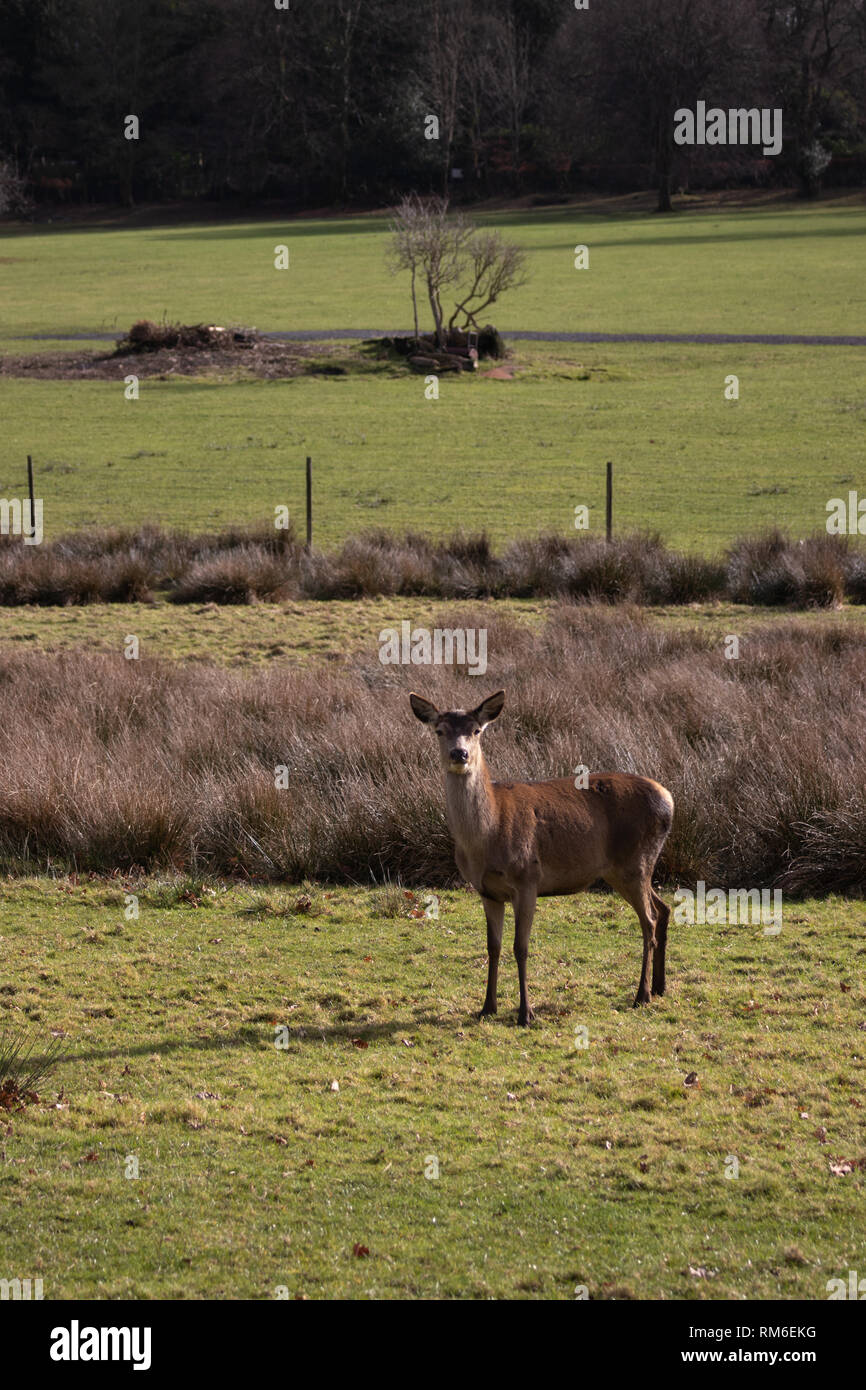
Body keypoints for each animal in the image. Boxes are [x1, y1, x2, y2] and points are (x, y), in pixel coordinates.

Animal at [409, 689, 674, 1024]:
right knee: (663, 909)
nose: (460, 754)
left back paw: (642, 995)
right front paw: (487, 1007)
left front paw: (526, 1013)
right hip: (629, 869)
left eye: (476, 730)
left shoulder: (528, 879)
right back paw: (660, 987)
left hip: (634, 863)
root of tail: (670, 799)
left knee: (648, 921)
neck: (486, 837)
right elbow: (493, 946)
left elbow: (520, 947)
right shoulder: (486, 891)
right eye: (440, 730)